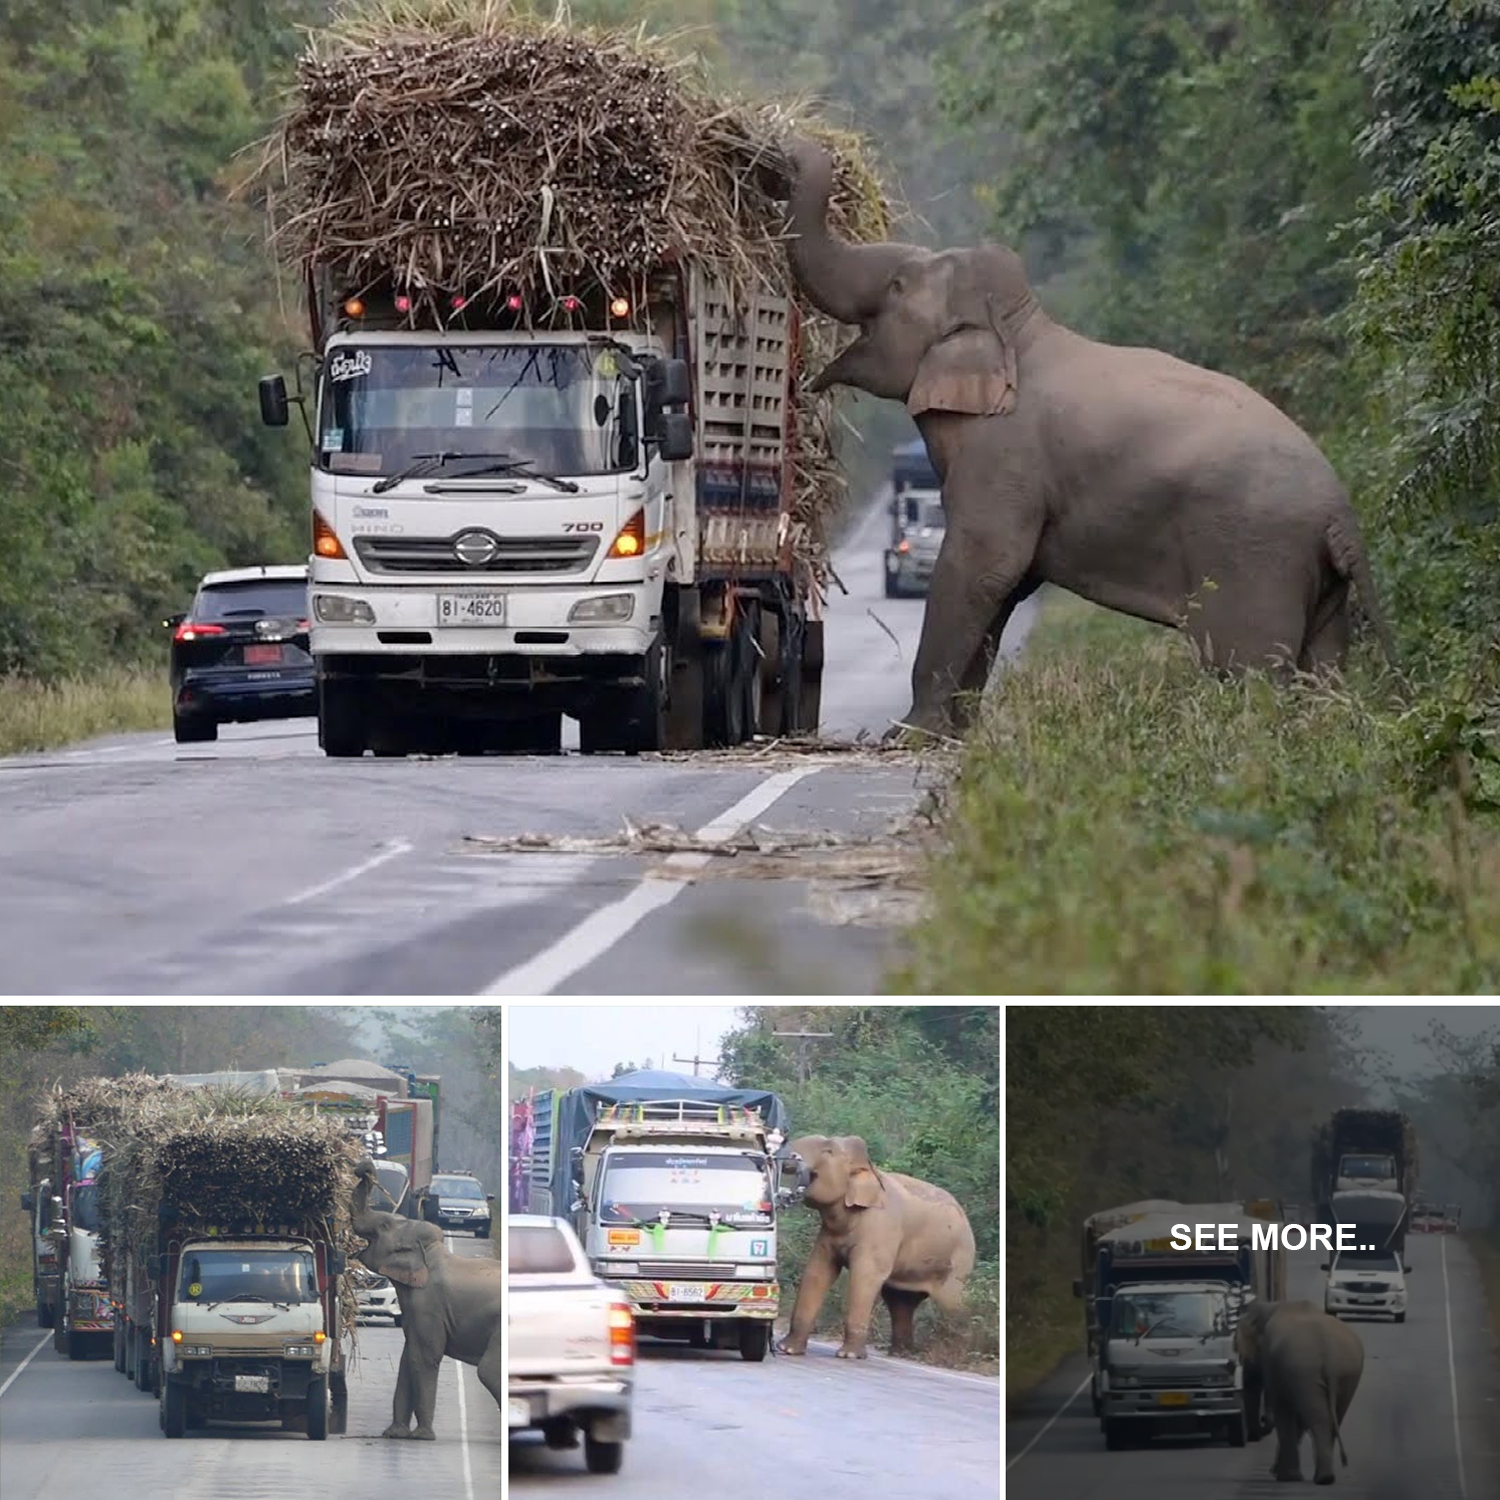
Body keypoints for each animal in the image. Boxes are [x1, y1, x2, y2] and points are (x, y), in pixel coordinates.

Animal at [351, 1156, 502, 1439]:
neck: (431, 1252)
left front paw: (422, 1436)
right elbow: (407, 1356)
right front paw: (394, 1434)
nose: (364, 1167)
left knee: (488, 1371)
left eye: (384, 1226)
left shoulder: (428, 1303)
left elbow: (424, 1357)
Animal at [778, 1135, 975, 1359]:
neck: (870, 1169)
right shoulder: (828, 1234)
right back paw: (900, 1353)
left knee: (952, 1304)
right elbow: (818, 1271)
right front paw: (788, 1349)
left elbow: (865, 1276)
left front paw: (849, 1356)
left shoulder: (880, 1227)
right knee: (900, 1301)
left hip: (958, 1262)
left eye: (828, 1151)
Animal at [781, 137, 1397, 738]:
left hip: (1254, 560)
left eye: (897, 286)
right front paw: (958, 735)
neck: (1018, 329)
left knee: (1251, 672)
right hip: (1316, 579)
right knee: (1324, 668)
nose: (788, 150)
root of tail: (1340, 512)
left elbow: (984, 565)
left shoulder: (1003, 457)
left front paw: (910, 735)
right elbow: (1006, 585)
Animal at [1235, 1298, 1364, 1484]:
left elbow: (1284, 1411)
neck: (1271, 1307)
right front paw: (1280, 1473)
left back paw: (1322, 1478)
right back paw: (1326, 1477)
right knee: (1334, 1418)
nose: (1263, 1418)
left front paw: (1285, 1477)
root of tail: (1330, 1356)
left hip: (1304, 1368)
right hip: (1347, 1373)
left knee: (1319, 1419)